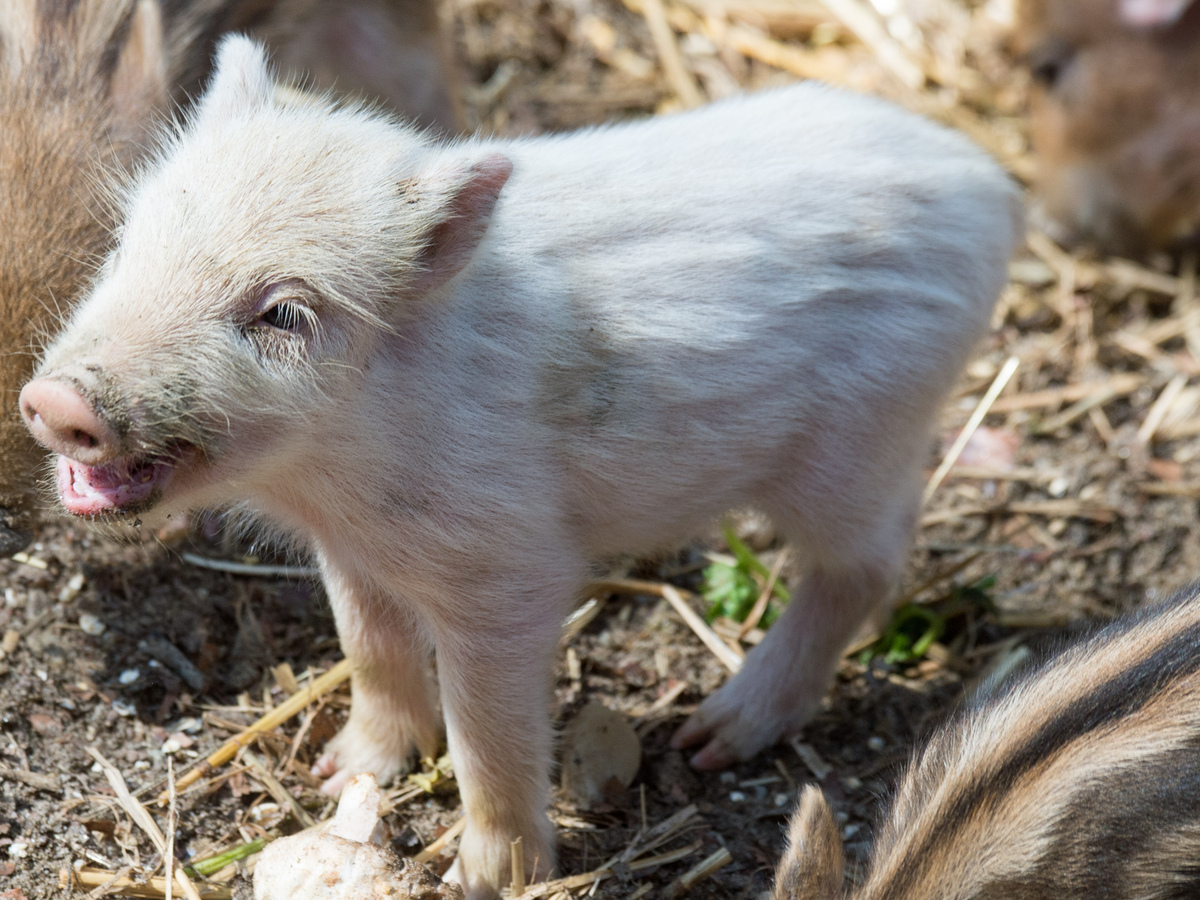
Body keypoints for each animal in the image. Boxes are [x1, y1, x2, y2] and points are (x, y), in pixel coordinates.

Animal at [20, 37, 1021, 897]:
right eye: (131, 243)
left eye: (284, 313)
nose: (55, 403)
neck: (337, 479)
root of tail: (989, 182)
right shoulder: (353, 556)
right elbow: (368, 646)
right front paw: (340, 773)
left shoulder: (510, 570)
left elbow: (488, 729)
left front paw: (485, 879)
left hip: (861, 442)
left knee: (869, 566)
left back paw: (707, 740)